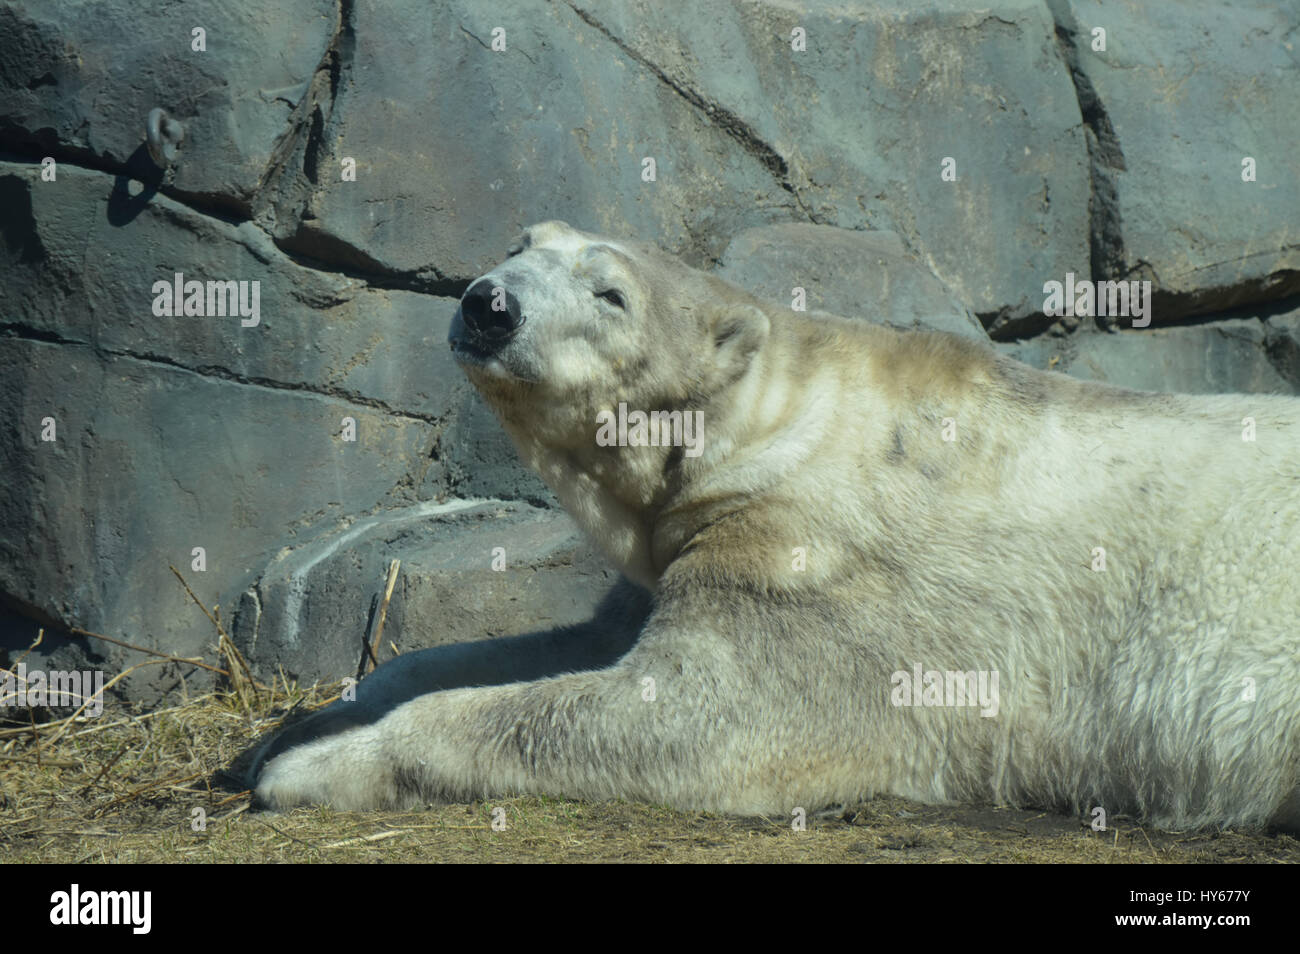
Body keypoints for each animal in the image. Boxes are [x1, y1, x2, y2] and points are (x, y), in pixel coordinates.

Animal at [251, 220, 1300, 832]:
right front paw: (307, 720)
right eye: (520, 246)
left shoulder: (810, 565)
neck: (774, 424)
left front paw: (310, 767)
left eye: (610, 293)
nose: (487, 301)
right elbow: (570, 642)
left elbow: (694, 712)